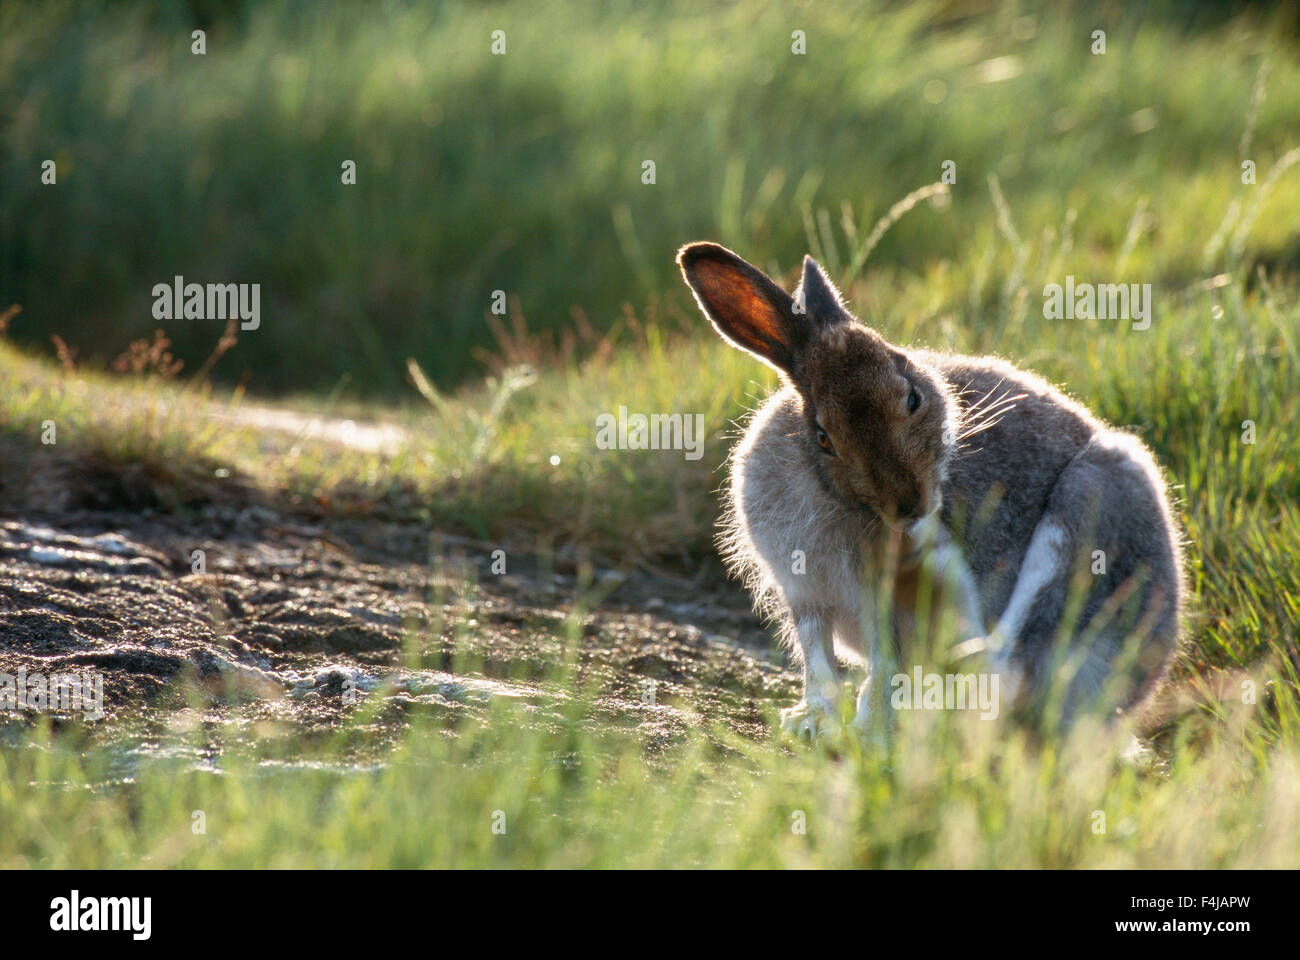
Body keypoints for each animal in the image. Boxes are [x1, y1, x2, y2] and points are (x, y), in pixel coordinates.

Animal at [676, 241, 1184, 740]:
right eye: (823, 437)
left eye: (912, 397)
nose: (910, 506)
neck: (837, 497)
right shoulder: (805, 596)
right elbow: (817, 658)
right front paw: (813, 722)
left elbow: (885, 659)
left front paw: (868, 727)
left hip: (1089, 508)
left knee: (1011, 653)